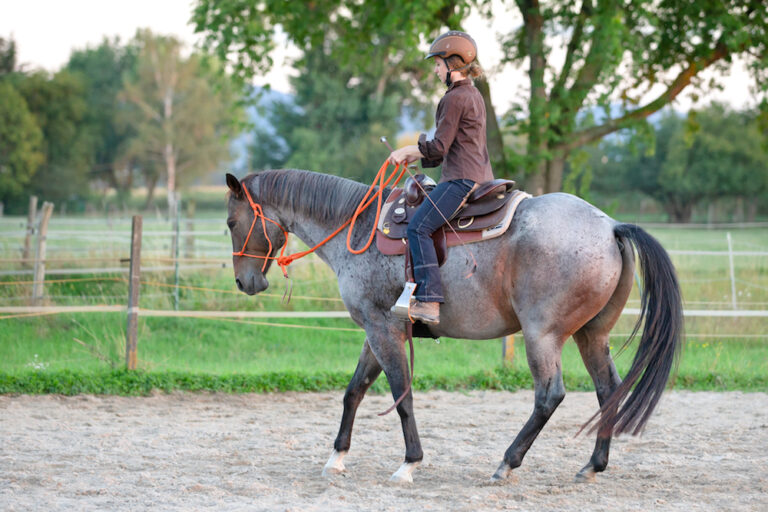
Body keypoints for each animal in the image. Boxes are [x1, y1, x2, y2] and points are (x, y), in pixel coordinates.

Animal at [224, 168, 682, 483]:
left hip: (543, 336)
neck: (359, 228)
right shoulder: (377, 329)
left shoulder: (382, 329)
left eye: (231, 222)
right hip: (592, 335)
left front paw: (409, 463)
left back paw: (506, 463)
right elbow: (354, 392)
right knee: (609, 390)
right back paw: (593, 464)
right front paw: (336, 457)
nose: (245, 282)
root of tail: (611, 226)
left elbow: (401, 396)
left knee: (549, 395)